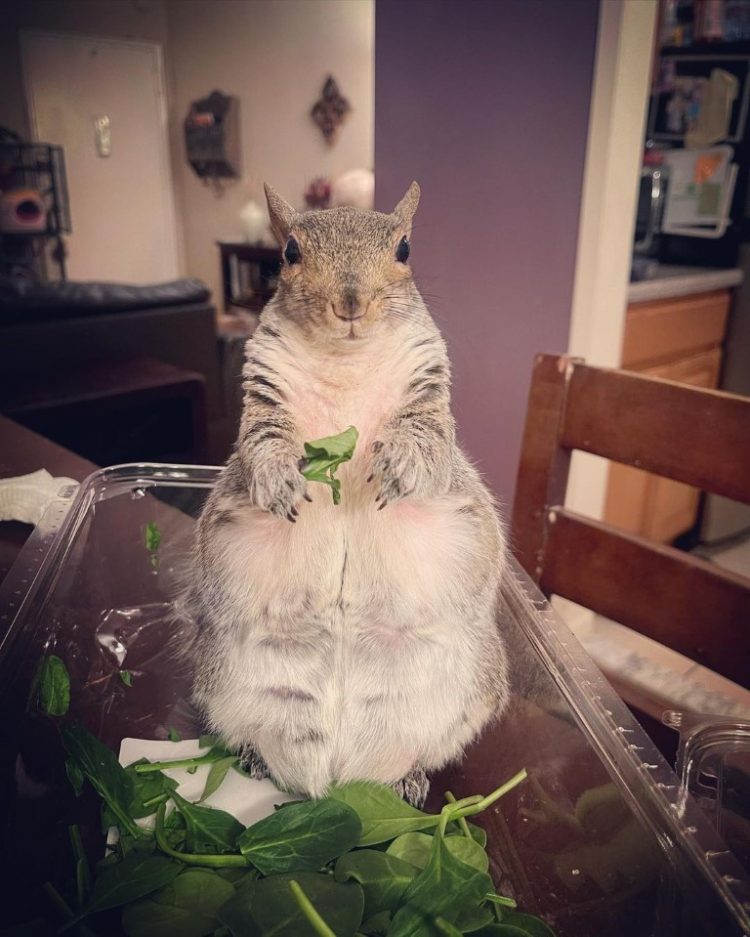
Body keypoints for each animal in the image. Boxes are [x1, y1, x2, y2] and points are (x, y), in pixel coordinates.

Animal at [189, 182, 509, 806]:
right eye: (289, 252)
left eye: (405, 248)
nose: (352, 302)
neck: (346, 361)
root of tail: (336, 778)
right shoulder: (261, 402)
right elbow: (259, 447)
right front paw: (278, 481)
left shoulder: (431, 399)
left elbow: (430, 446)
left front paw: (398, 467)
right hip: (218, 684)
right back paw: (255, 759)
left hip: (473, 696)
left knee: (425, 752)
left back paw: (409, 779)